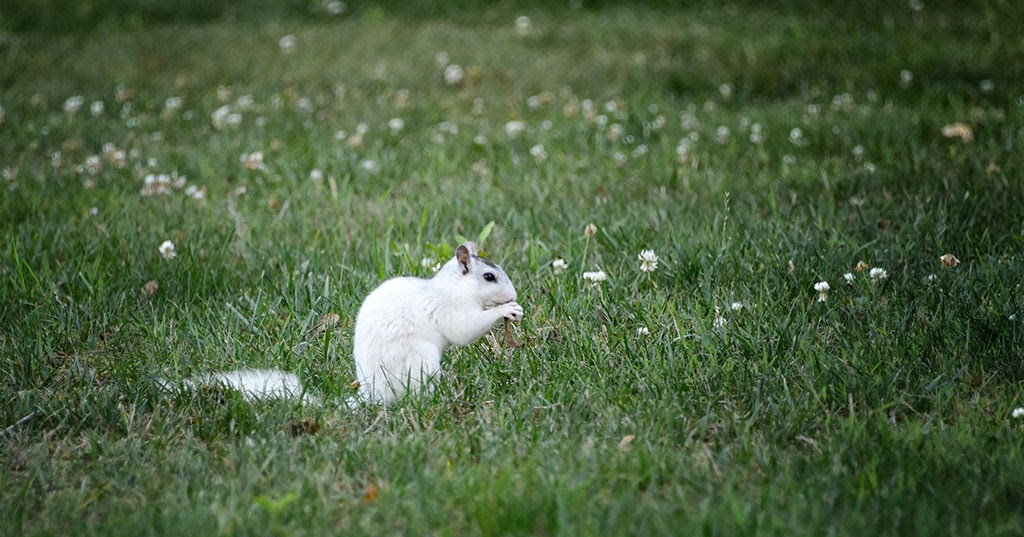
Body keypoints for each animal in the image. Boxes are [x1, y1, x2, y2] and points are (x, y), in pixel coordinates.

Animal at [167, 242, 523, 405]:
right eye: (489, 277)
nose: (514, 293)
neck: (455, 287)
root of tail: (373, 395)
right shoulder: (450, 309)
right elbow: (465, 329)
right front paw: (507, 310)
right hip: (420, 362)